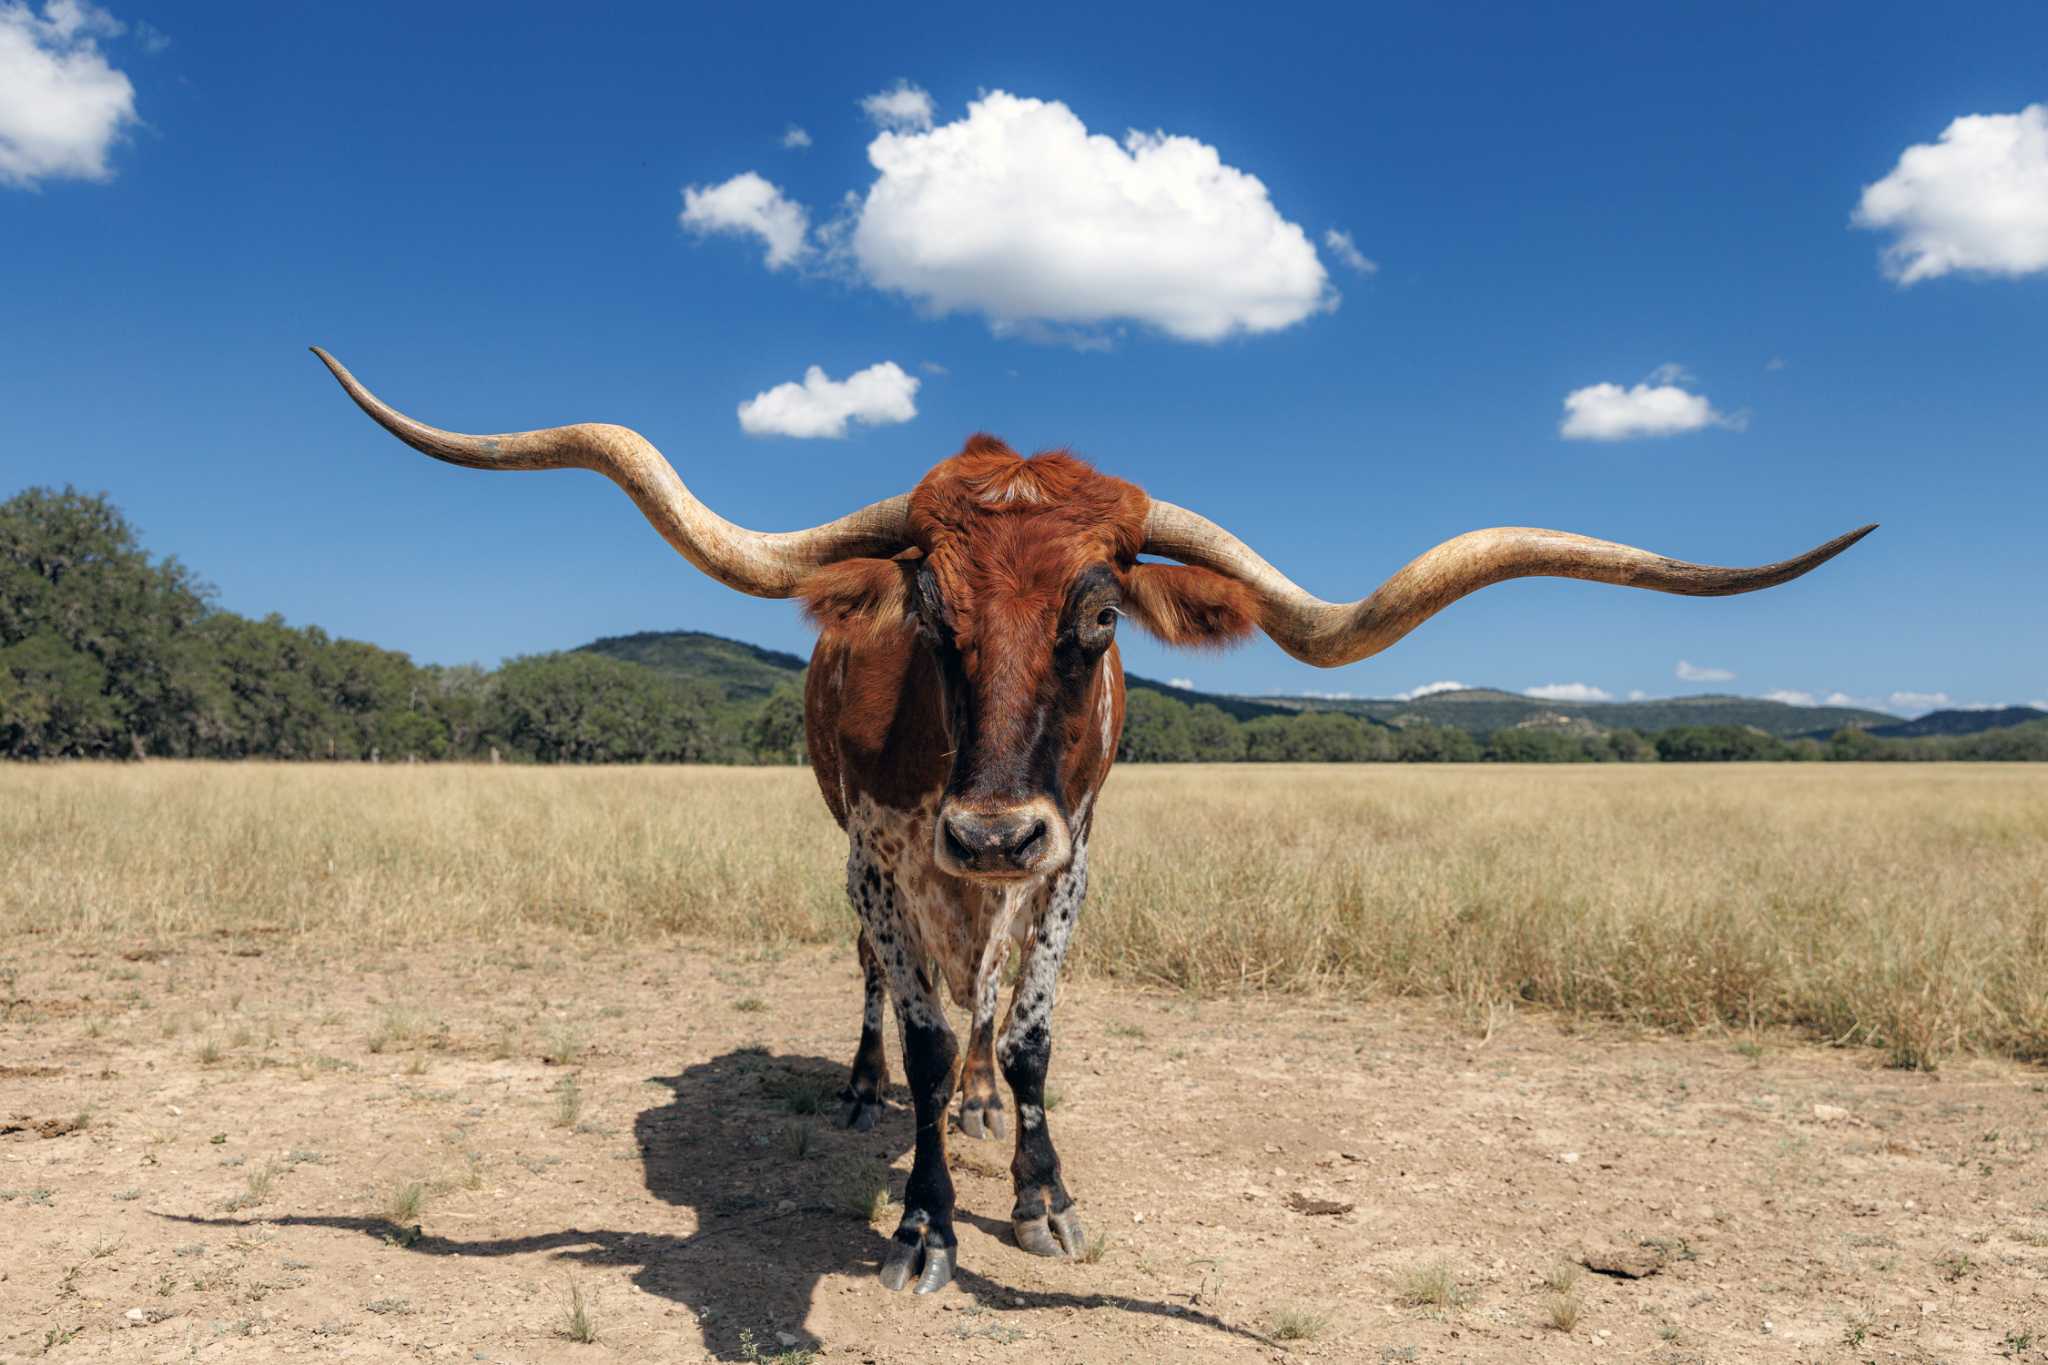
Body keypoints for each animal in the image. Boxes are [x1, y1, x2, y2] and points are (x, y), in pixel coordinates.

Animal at [311, 347, 1872, 1294]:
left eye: (1104, 613)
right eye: (927, 605)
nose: (992, 830)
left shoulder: (1071, 859)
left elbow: (1031, 1027)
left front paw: (1037, 1187)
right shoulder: (889, 854)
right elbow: (922, 1023)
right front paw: (926, 1215)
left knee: (991, 983)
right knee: (886, 986)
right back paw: (874, 1086)